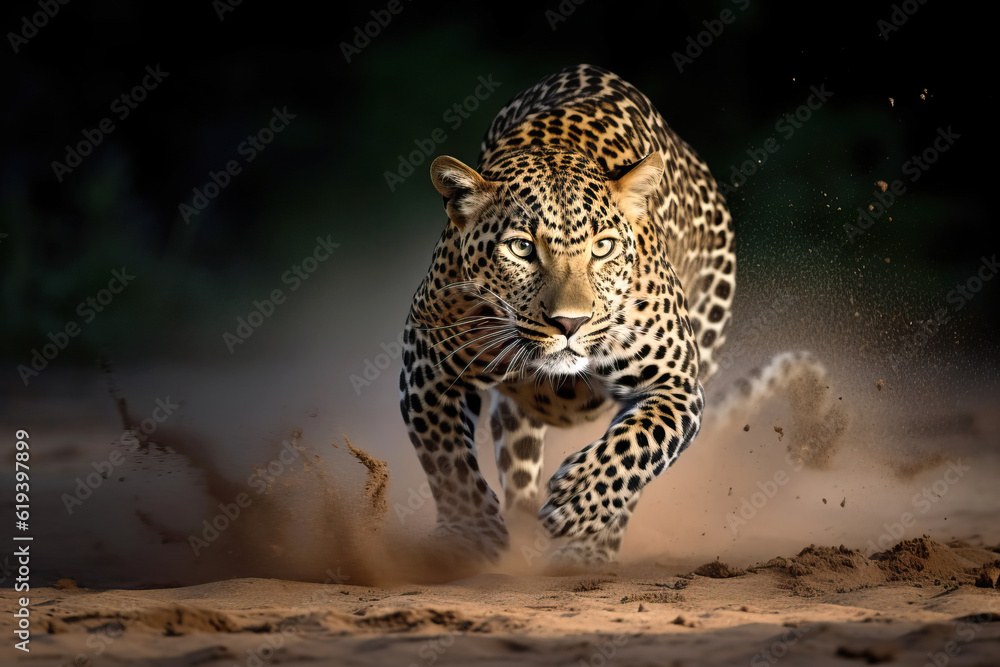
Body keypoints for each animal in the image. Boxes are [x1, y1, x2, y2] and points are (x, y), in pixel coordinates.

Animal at [398, 64, 737, 569]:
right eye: (521, 248)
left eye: (603, 247)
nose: (570, 324)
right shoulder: (426, 364)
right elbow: (446, 458)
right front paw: (471, 535)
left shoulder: (675, 387)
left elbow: (640, 444)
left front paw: (579, 500)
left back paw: (588, 549)